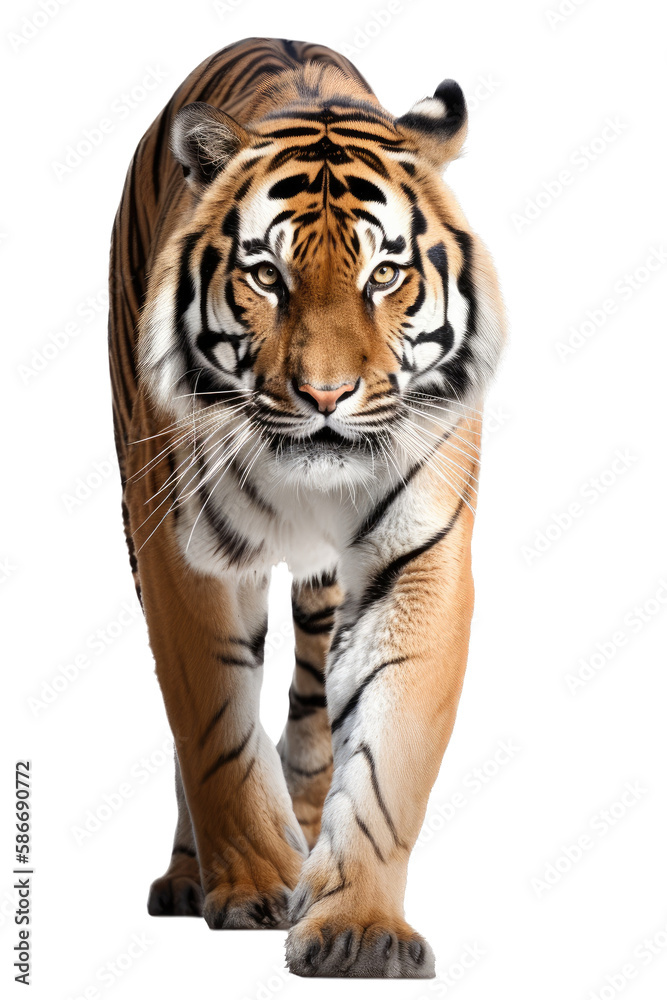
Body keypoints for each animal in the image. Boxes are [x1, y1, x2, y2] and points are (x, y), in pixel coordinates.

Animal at [108, 36, 506, 979]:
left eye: (384, 275)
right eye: (266, 276)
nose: (325, 396)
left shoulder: (419, 555)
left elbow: (388, 749)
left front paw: (357, 926)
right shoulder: (183, 553)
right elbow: (212, 725)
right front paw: (254, 883)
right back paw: (193, 875)